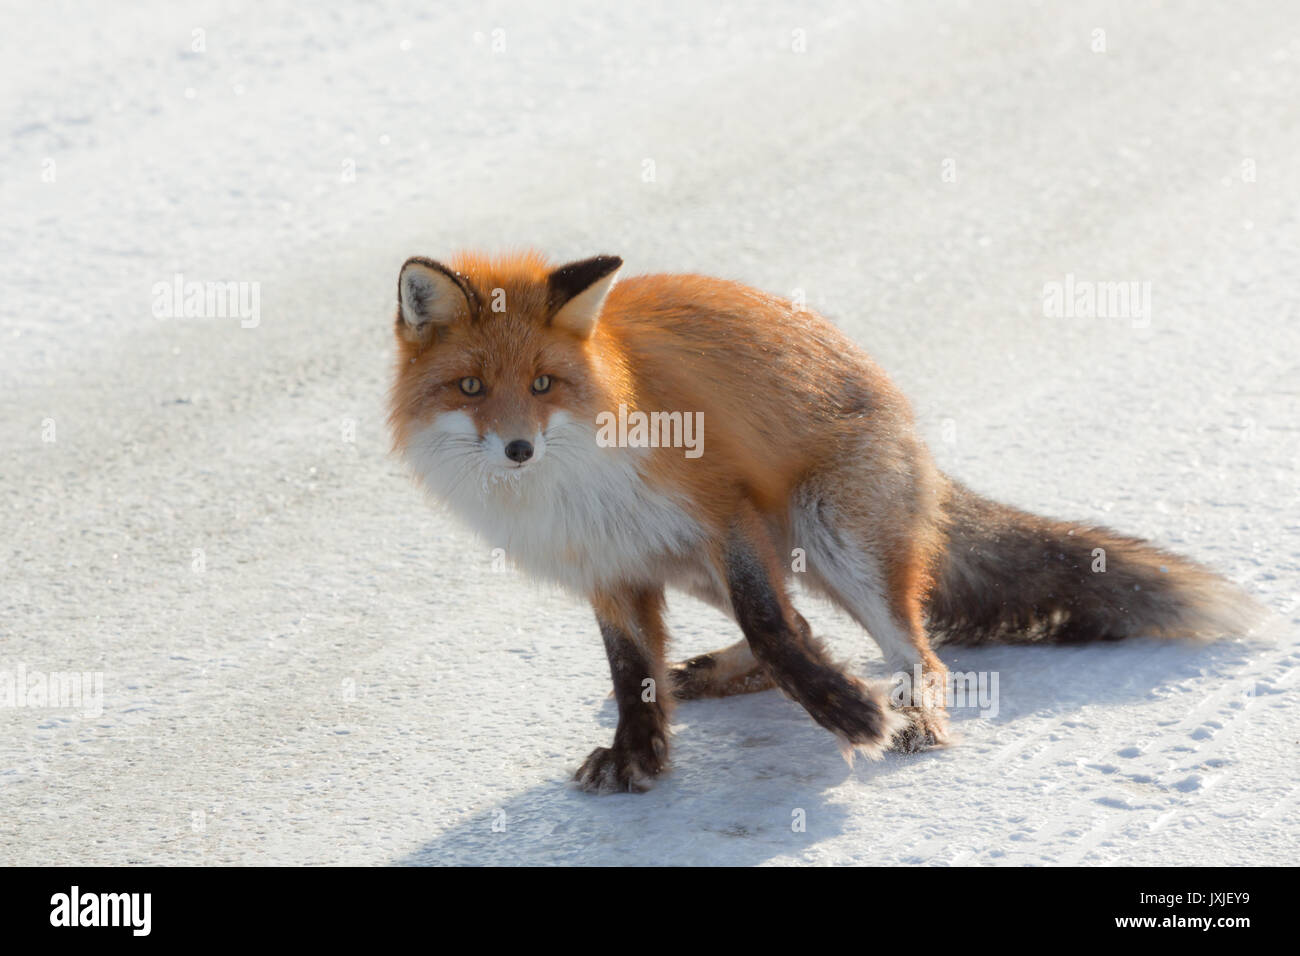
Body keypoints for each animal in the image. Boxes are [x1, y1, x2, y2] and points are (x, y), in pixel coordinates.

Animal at [387, 250, 1264, 794]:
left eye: (543, 383)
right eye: (470, 387)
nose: (519, 448)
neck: (573, 484)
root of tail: (912, 429)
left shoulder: (723, 507)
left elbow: (770, 624)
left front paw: (849, 713)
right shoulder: (605, 567)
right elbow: (633, 672)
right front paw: (640, 756)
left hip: (828, 527)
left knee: (917, 655)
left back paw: (910, 717)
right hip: (711, 561)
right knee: (811, 625)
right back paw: (717, 675)